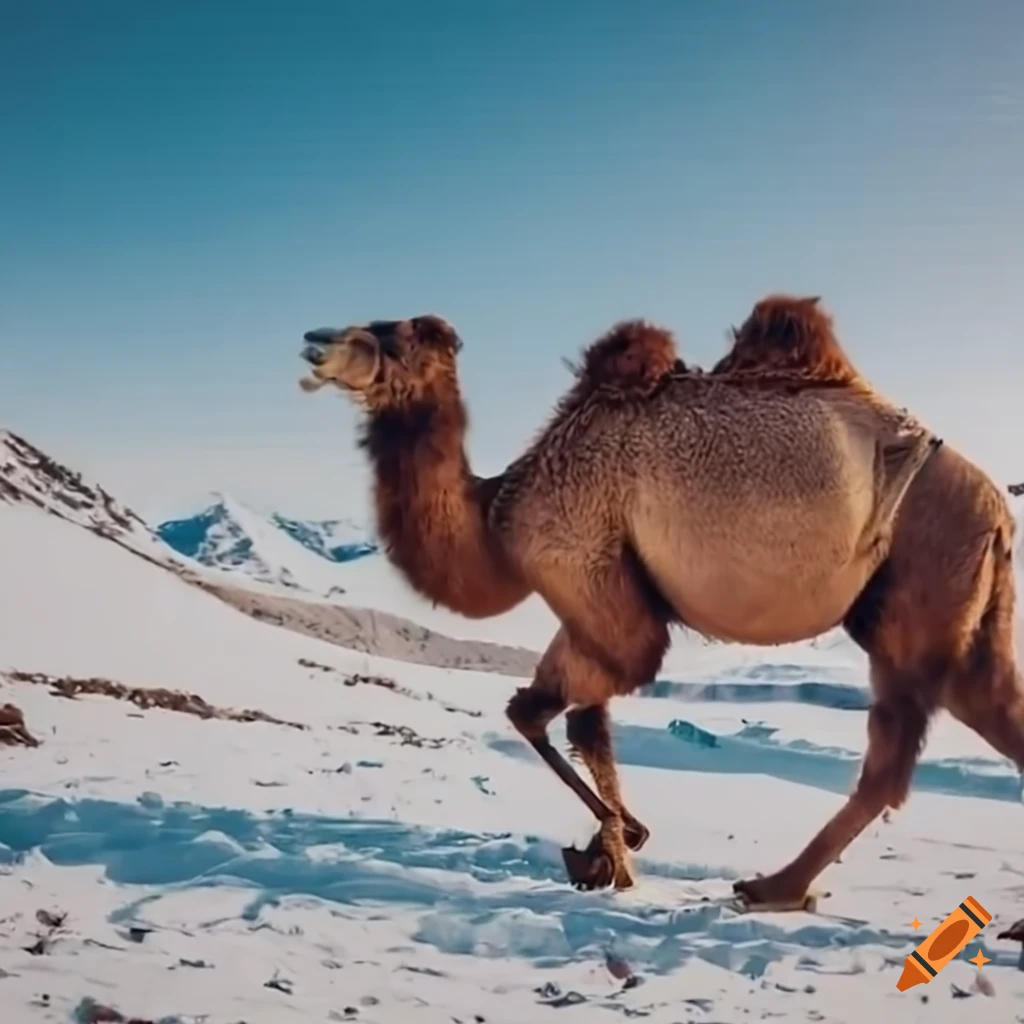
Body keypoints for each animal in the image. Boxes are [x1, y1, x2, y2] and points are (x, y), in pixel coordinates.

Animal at [297, 299, 1015, 911]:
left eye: (392, 334)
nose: (315, 340)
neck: (499, 516)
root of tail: (999, 511)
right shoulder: (590, 605)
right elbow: (577, 723)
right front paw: (610, 853)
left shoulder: (590, 576)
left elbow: (545, 712)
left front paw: (618, 846)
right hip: (959, 606)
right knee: (989, 711)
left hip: (919, 588)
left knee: (892, 759)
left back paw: (772, 887)